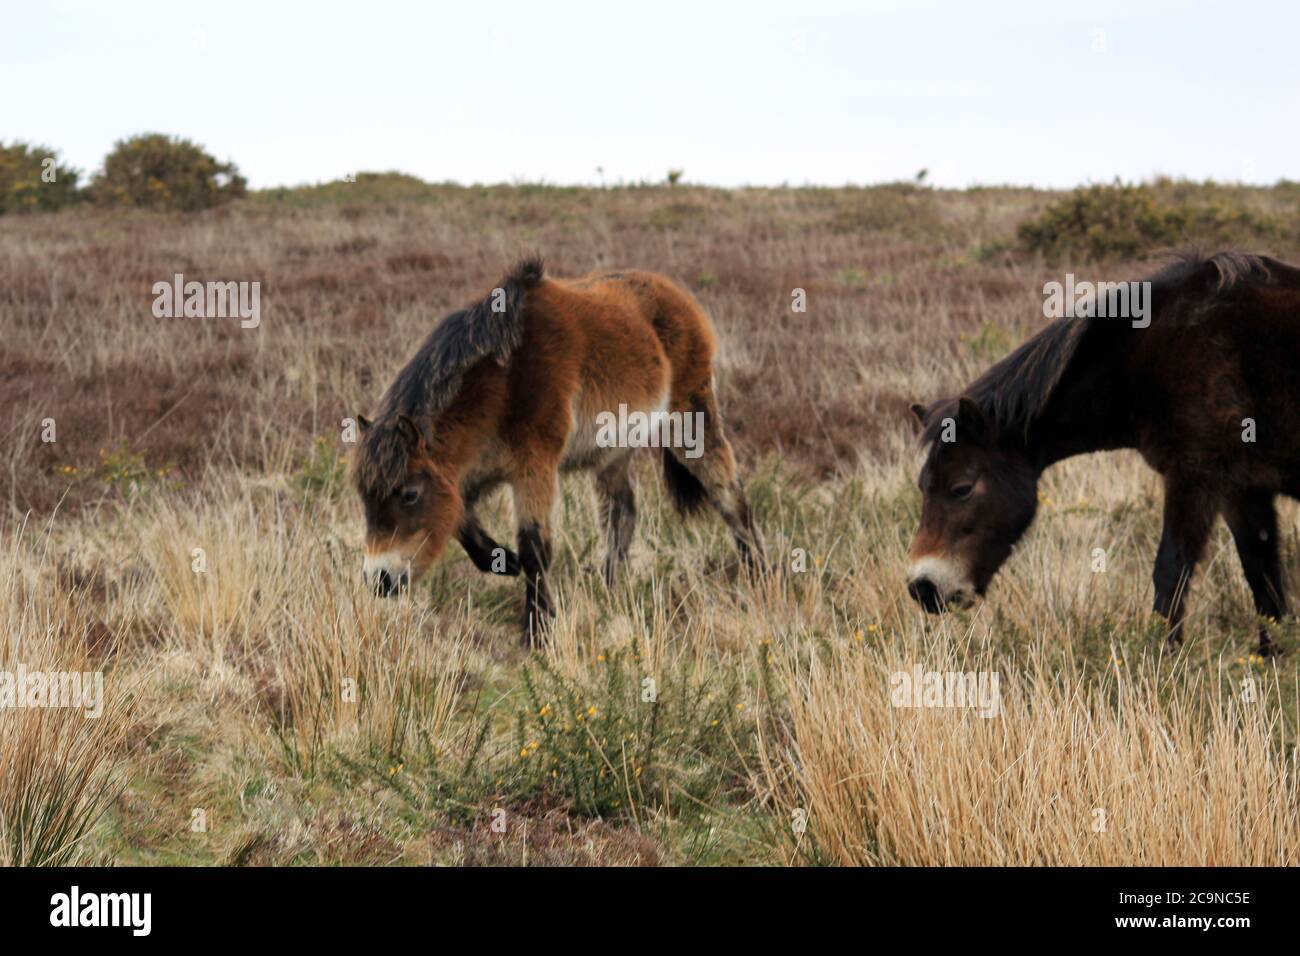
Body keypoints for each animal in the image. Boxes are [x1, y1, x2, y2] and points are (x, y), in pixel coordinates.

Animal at [350, 257, 764, 643]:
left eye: (410, 494)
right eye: (364, 498)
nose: (378, 580)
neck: (504, 383)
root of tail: (677, 296)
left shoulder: (534, 466)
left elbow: (535, 546)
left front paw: (537, 631)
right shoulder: (470, 473)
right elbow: (462, 521)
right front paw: (504, 561)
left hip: (692, 422)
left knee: (730, 497)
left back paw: (760, 576)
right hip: (613, 456)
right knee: (622, 515)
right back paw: (607, 588)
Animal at [907, 251, 1300, 657]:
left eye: (962, 488)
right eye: (923, 487)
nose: (923, 588)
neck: (1162, 352)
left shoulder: (1193, 480)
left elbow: (1171, 570)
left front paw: (1162, 658)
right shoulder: (1243, 490)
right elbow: (1262, 574)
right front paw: (1272, 658)